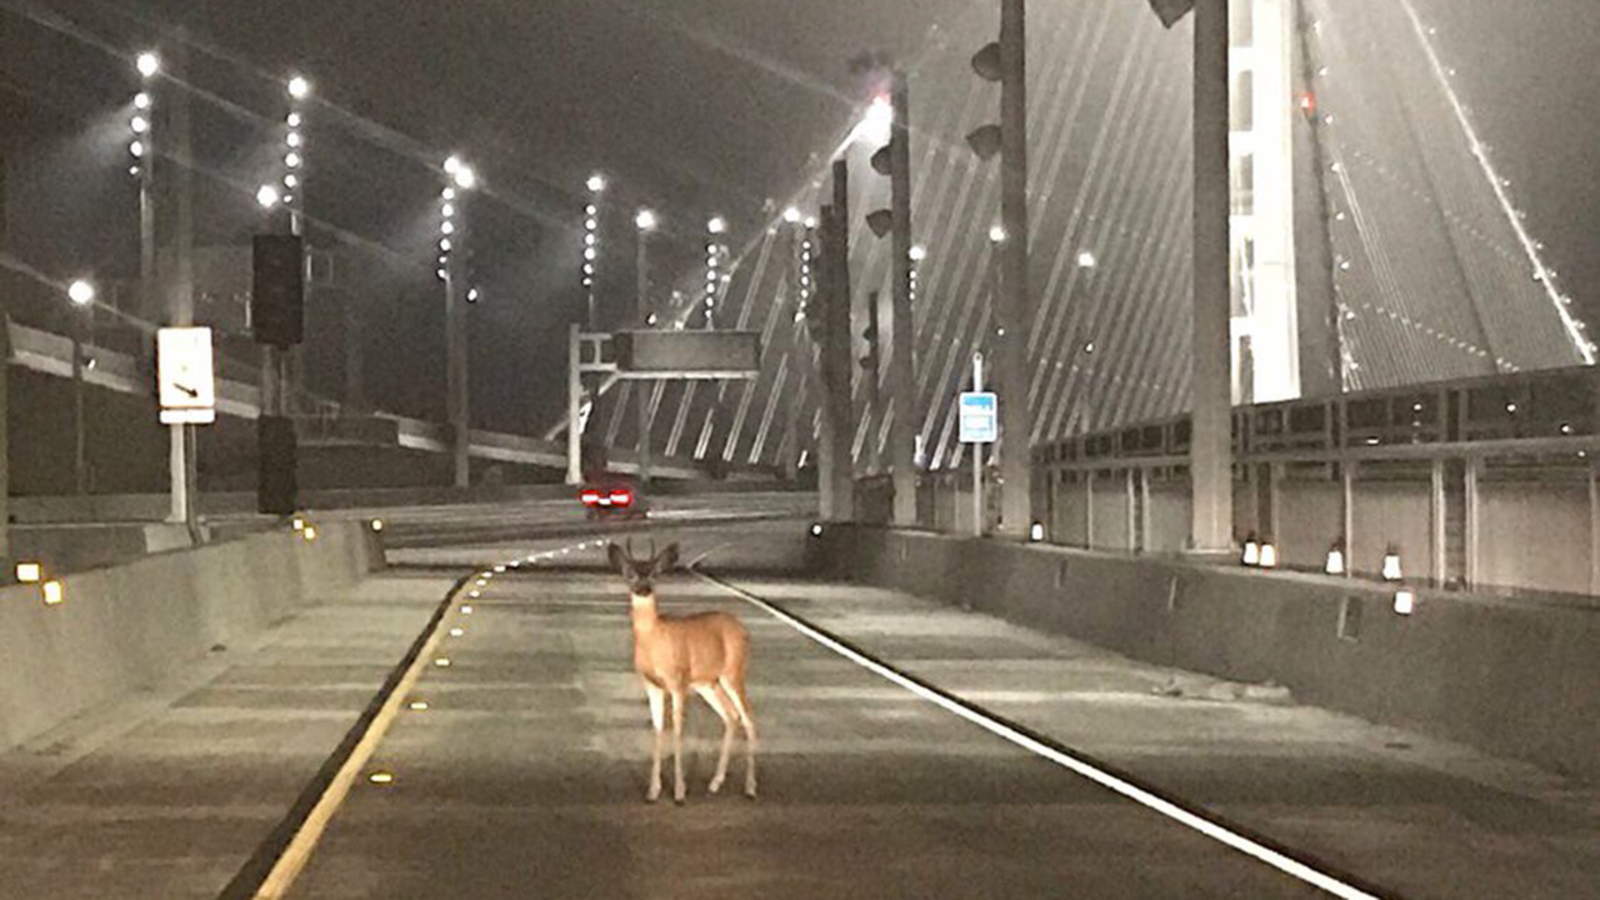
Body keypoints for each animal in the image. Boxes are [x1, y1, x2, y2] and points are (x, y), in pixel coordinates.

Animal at [608, 539, 757, 804]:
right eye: (630, 574)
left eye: (654, 575)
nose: (643, 589)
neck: (654, 638)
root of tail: (742, 628)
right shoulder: (652, 685)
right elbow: (658, 729)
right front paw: (653, 791)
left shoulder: (678, 681)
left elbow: (677, 729)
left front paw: (679, 792)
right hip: (710, 683)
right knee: (731, 716)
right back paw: (715, 783)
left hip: (734, 672)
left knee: (749, 718)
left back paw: (750, 788)